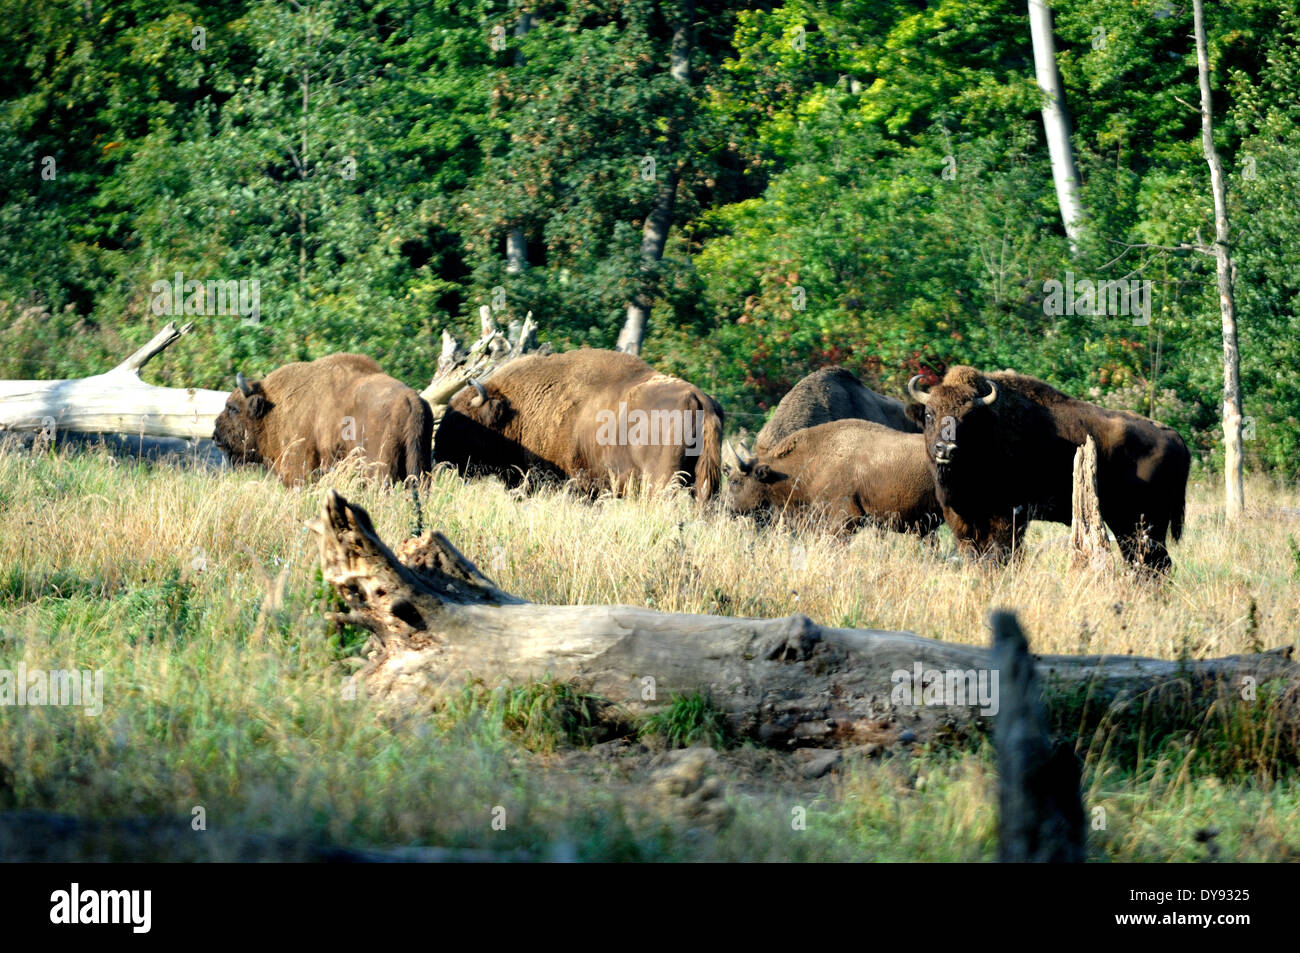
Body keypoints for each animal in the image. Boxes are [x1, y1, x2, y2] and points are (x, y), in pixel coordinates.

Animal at [212, 353, 433, 486]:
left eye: (233, 408)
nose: (215, 436)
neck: (274, 405)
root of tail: (410, 399)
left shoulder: (298, 470)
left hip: (379, 470)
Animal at [434, 348, 724, 501]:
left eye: (463, 422)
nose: (438, 454)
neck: (517, 408)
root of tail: (698, 399)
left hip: (660, 482)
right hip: (705, 484)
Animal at [906, 365, 1190, 572]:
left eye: (969, 417)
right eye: (929, 414)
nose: (946, 449)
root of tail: (1175, 436)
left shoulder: (1008, 517)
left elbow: (1001, 557)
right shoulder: (963, 520)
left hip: (1144, 522)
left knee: (1156, 564)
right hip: (1127, 523)